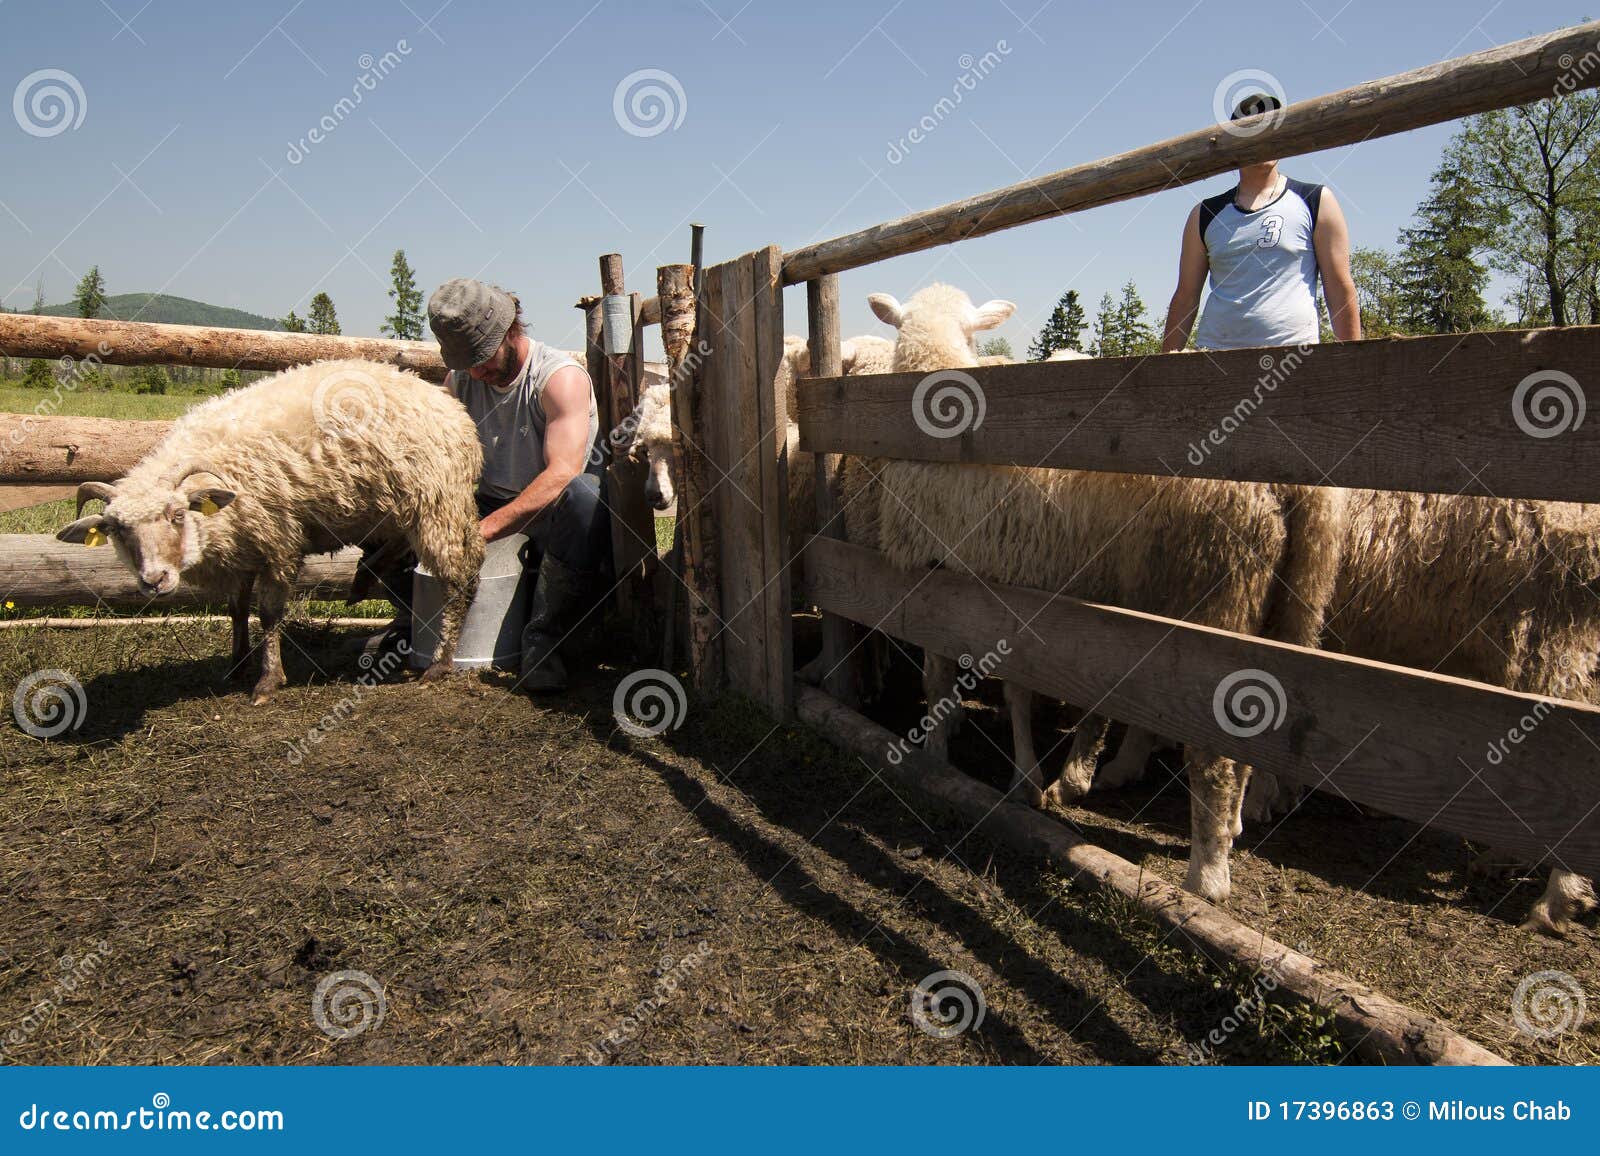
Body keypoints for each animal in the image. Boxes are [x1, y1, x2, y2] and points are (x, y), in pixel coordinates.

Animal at [57, 359, 485, 705]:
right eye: (117, 529)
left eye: (177, 515)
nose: (155, 580)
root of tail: (451, 407)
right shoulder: (241, 548)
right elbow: (236, 610)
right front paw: (236, 664)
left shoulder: (277, 539)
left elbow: (268, 613)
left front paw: (267, 680)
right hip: (401, 512)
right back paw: (366, 577)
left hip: (435, 505)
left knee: (457, 579)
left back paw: (439, 664)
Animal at [867, 283, 1346, 905]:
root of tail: (1284, 482)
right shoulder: (1015, 584)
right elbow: (1018, 691)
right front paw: (1026, 777)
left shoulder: (942, 572)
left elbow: (943, 676)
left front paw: (943, 756)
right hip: (1296, 600)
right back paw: (1236, 822)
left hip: (1215, 593)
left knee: (1215, 752)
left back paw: (1207, 876)